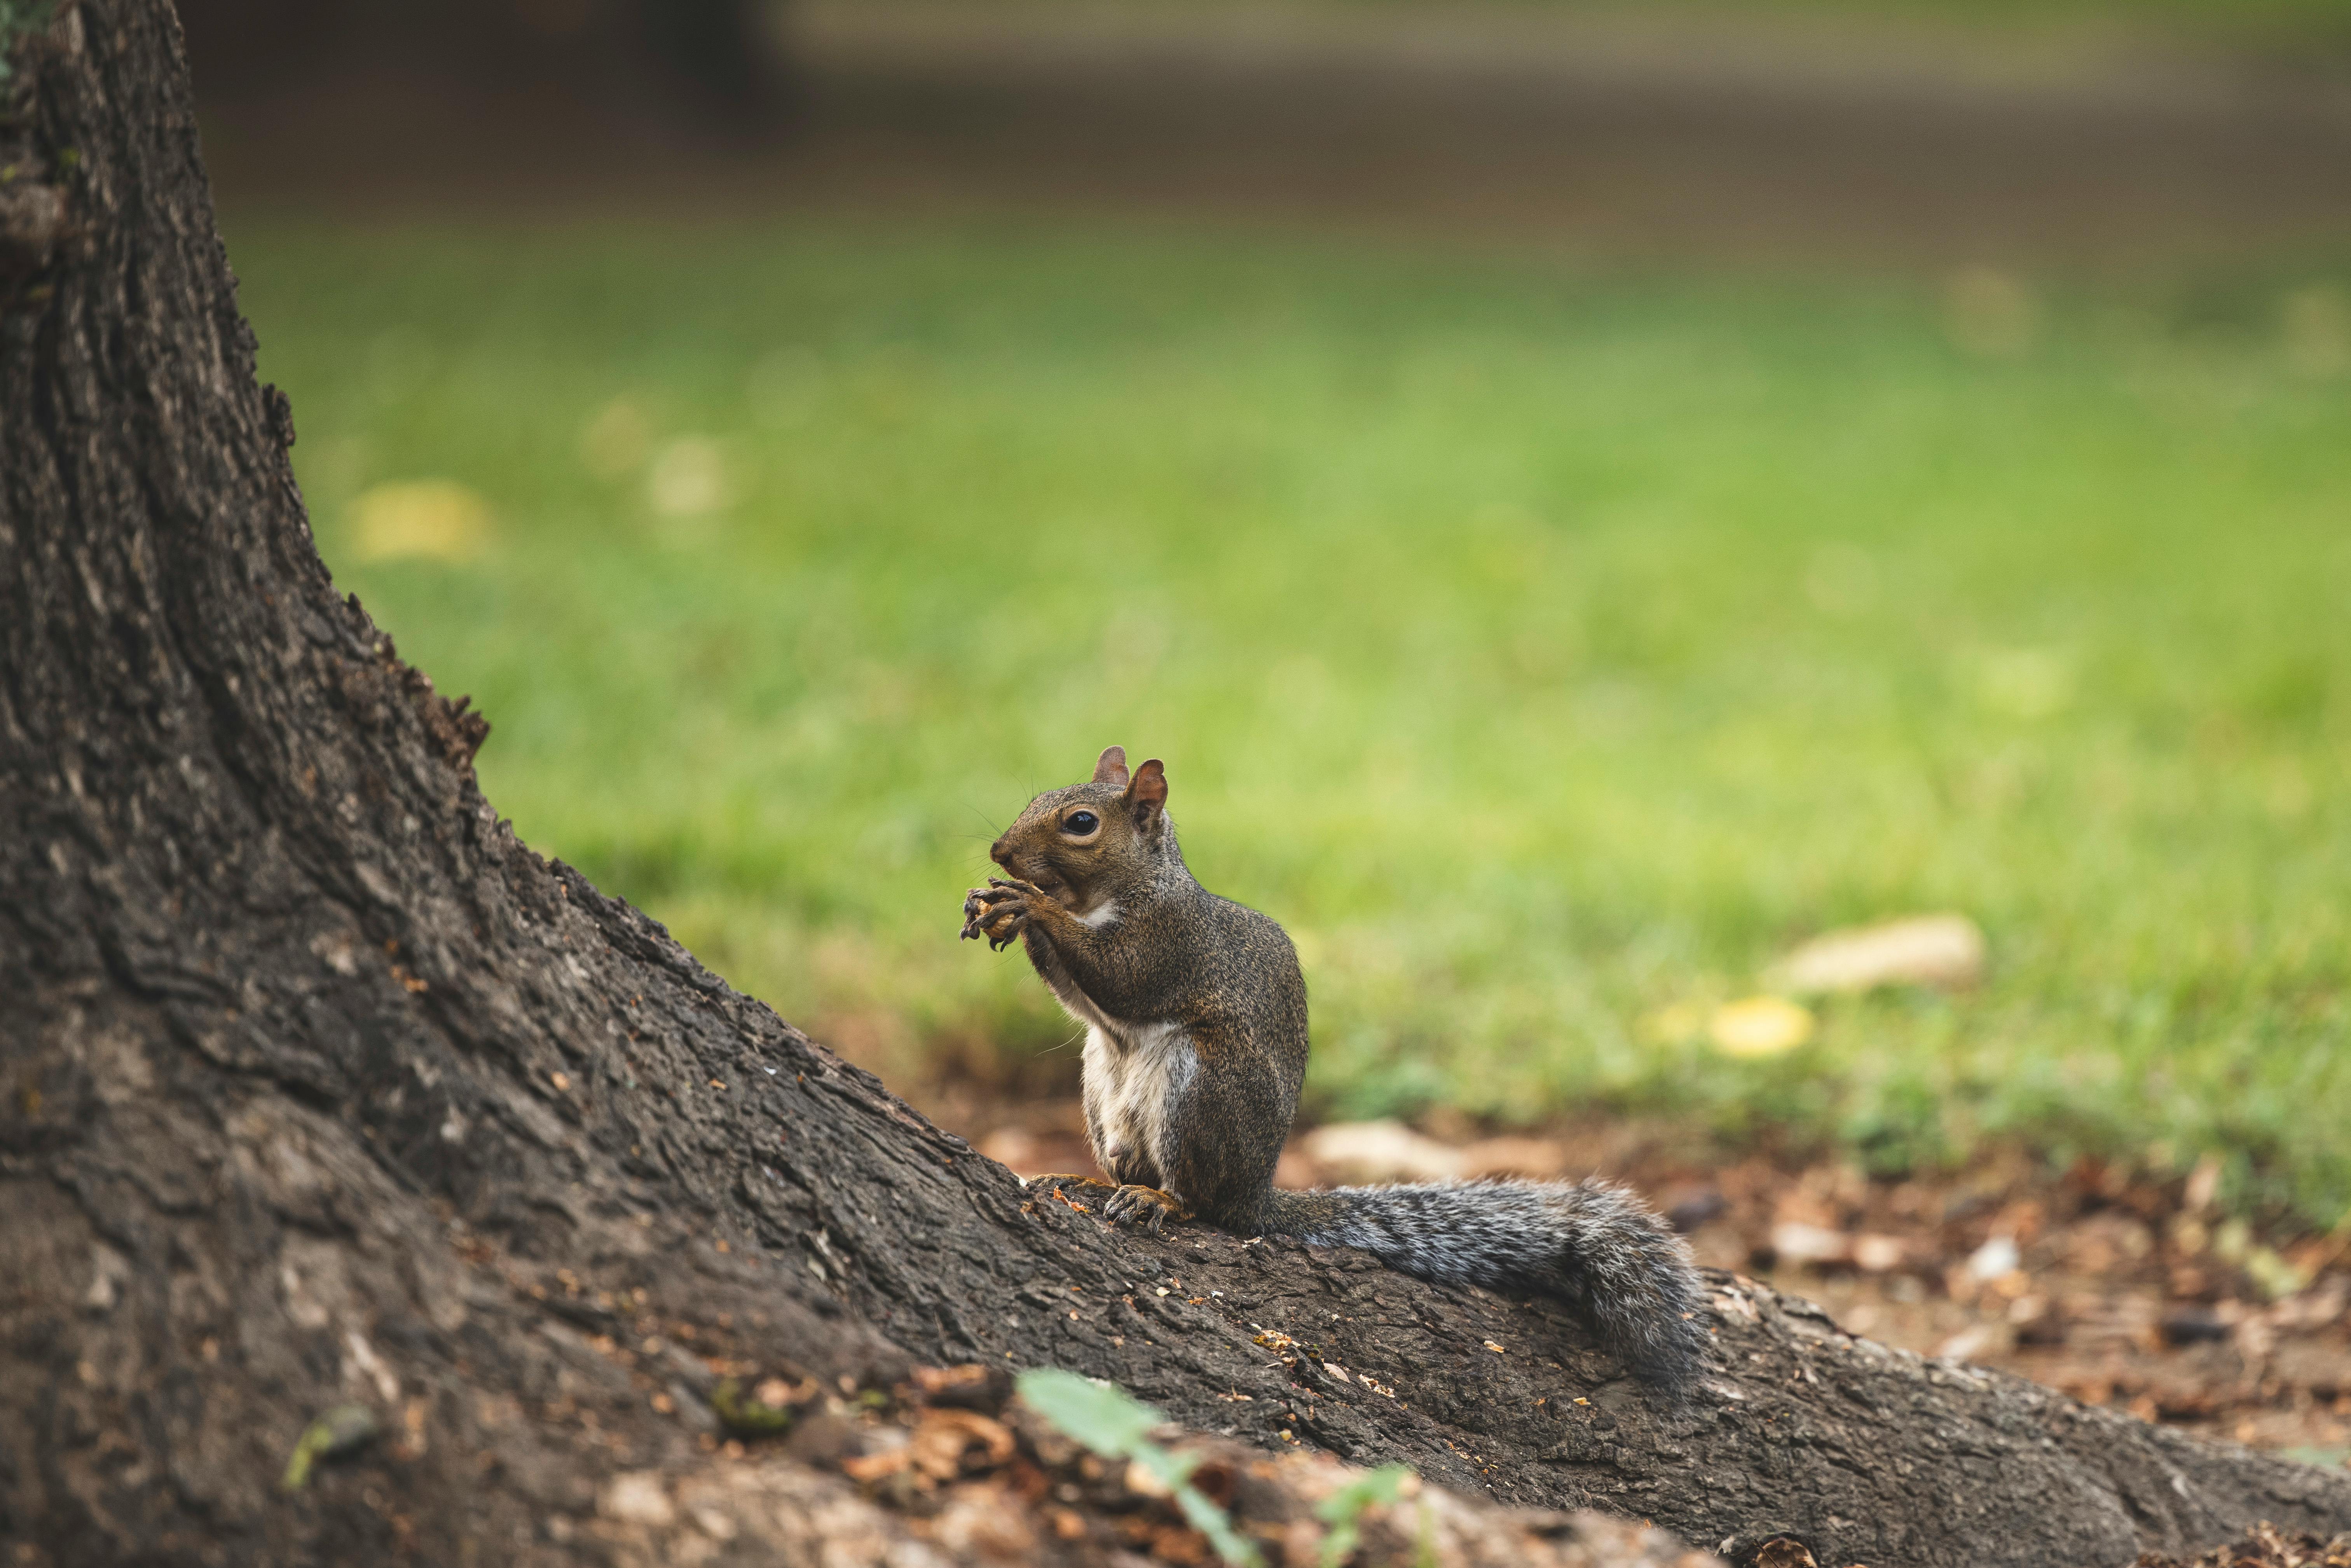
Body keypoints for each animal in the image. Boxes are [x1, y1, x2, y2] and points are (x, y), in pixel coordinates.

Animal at [960, 745, 1710, 1393]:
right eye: (1035, 798)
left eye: (1081, 823)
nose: (999, 852)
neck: (1118, 891)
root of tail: (1256, 1192)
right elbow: (1079, 994)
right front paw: (995, 904)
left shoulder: (1170, 941)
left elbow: (1119, 976)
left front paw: (1030, 903)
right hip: (1102, 1088)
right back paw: (1088, 1179)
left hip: (1200, 1089)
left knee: (1201, 1200)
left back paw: (1162, 1200)